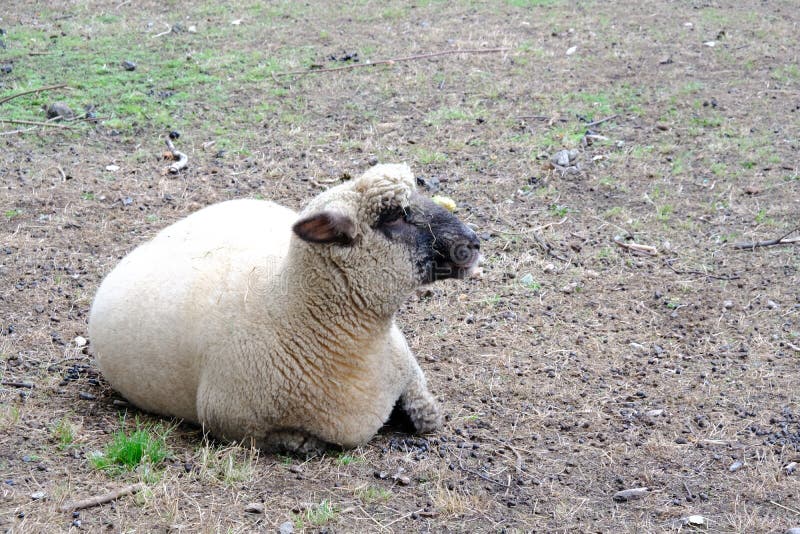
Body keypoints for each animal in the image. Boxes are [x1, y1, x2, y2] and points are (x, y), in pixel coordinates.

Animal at [88, 163, 481, 453]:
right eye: (393, 217)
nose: (473, 243)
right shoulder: (232, 423)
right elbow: (300, 443)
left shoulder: (408, 375)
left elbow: (428, 417)